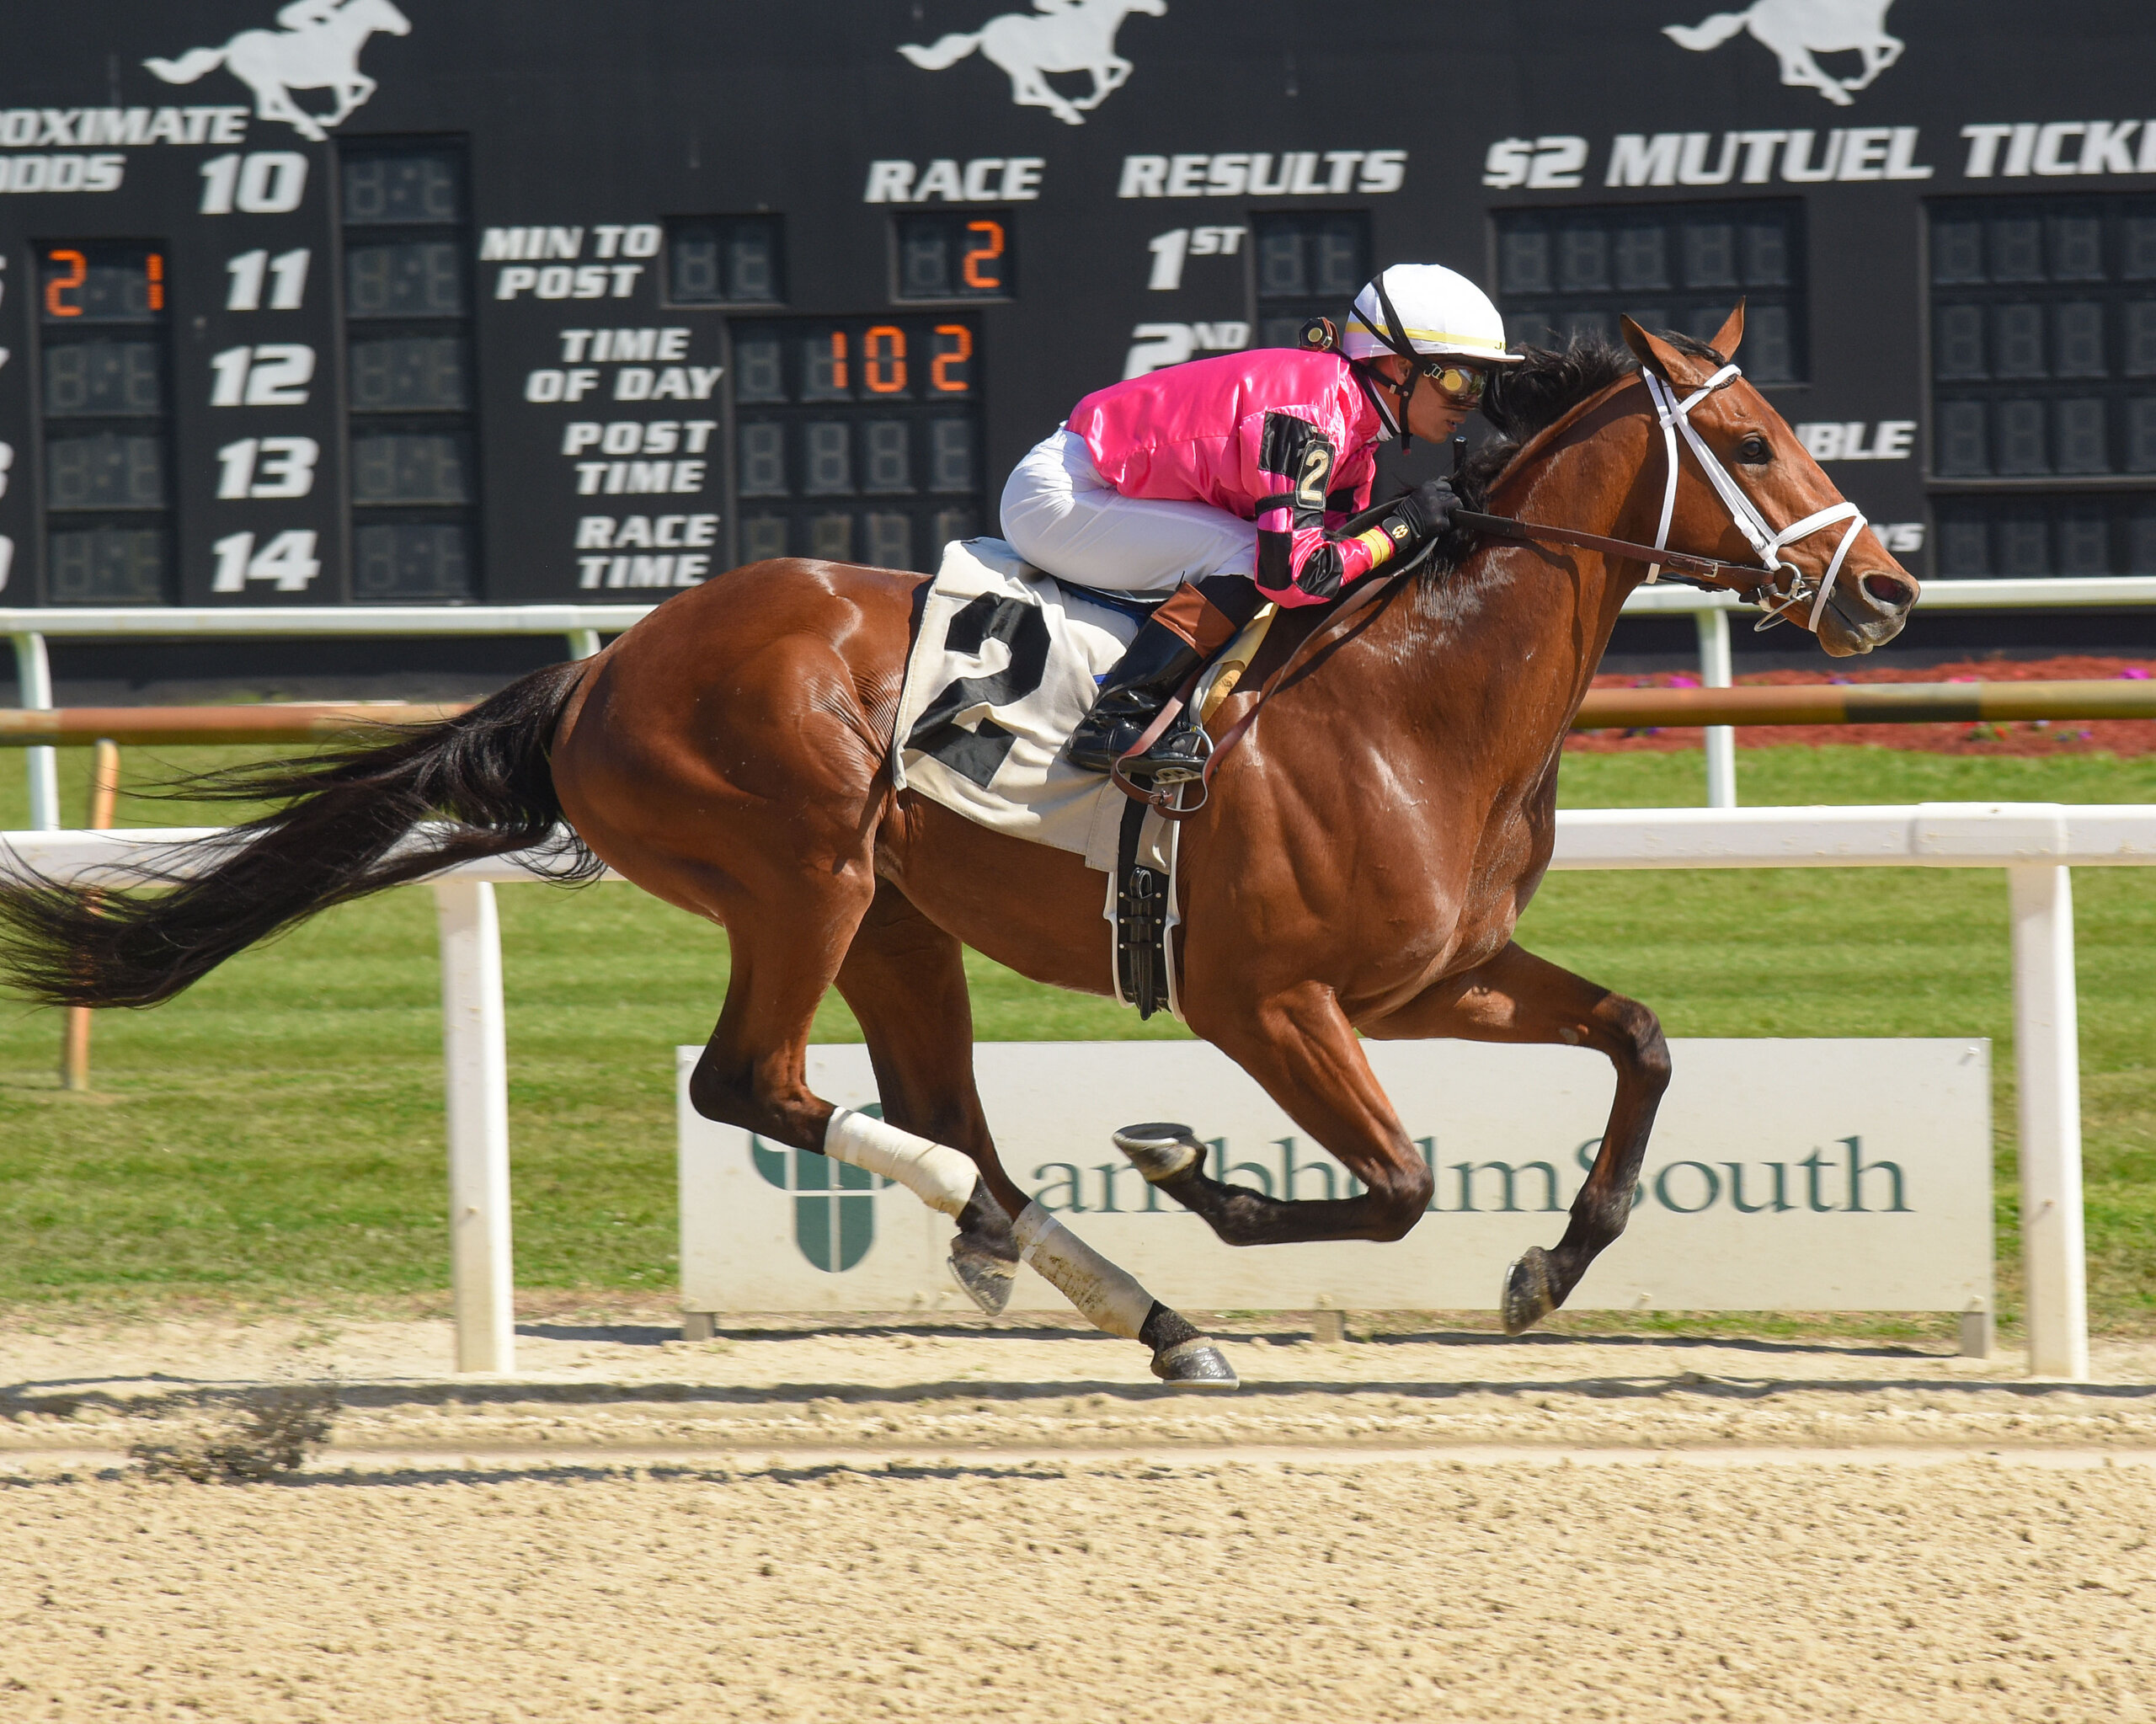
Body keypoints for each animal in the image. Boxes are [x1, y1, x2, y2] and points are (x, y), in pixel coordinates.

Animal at [0, 309, 1919, 1388]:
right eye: (1746, 440)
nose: (1888, 592)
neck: (1410, 696)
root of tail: (605, 664)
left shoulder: (1435, 974)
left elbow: (1637, 1044)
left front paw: (1547, 1268)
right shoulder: (1265, 1000)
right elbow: (1390, 1184)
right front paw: (1191, 1169)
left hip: (896, 921)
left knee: (933, 1112)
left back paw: (1120, 1301)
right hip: (804, 874)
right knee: (760, 1085)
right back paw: (1047, 1245)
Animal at [144, 0, 411, 144]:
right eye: (384, 8)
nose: (405, 27)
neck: (340, 36)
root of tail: (229, 48)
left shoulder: (341, 77)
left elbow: (359, 90)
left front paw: (337, 114)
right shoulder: (338, 76)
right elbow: (365, 86)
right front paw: (332, 117)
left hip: (263, 83)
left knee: (267, 110)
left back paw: (310, 126)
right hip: (266, 79)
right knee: (274, 107)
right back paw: (311, 127)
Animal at [897, 0, 1166, 127]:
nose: (1162, 7)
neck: (1095, 21)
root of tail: (984, 33)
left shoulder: (1096, 61)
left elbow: (1107, 79)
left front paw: (1090, 101)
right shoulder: (1094, 58)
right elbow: (1123, 67)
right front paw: (1088, 100)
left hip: (1019, 68)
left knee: (1022, 95)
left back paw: (1066, 109)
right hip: (1022, 65)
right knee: (1036, 90)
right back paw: (1068, 110)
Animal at [1664, 0, 1903, 106]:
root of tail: (1751, 13)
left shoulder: (1866, 40)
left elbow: (1873, 61)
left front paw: (1861, 80)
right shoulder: (1867, 36)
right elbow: (1896, 46)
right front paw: (1876, 70)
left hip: (1786, 48)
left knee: (1790, 76)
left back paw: (1835, 89)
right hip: (1791, 44)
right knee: (1805, 70)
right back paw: (1836, 91)